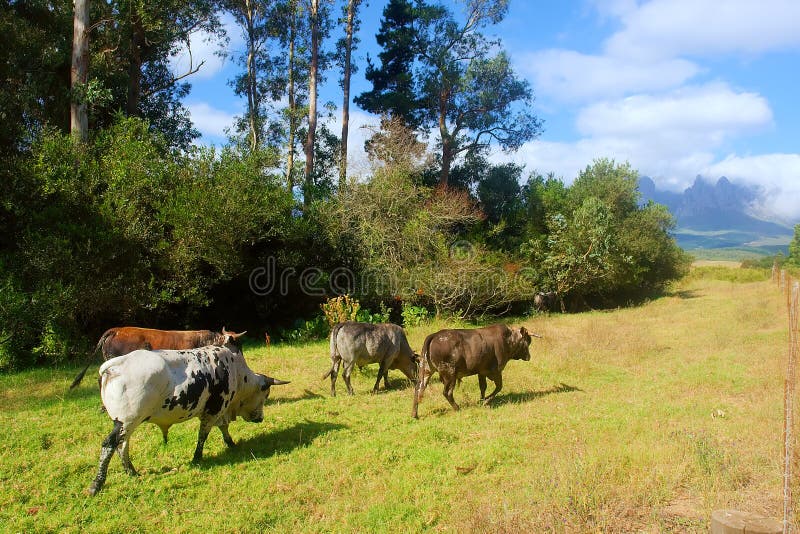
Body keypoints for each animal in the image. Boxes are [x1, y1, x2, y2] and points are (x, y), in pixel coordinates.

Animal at [87, 338, 289, 495]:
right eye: (266, 394)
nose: (260, 418)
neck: (235, 371)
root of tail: (117, 364)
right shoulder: (214, 409)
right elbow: (204, 435)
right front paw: (197, 457)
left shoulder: (217, 410)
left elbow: (223, 427)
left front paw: (230, 443)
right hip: (126, 421)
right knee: (109, 445)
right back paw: (97, 484)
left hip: (126, 423)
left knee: (122, 446)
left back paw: (131, 471)